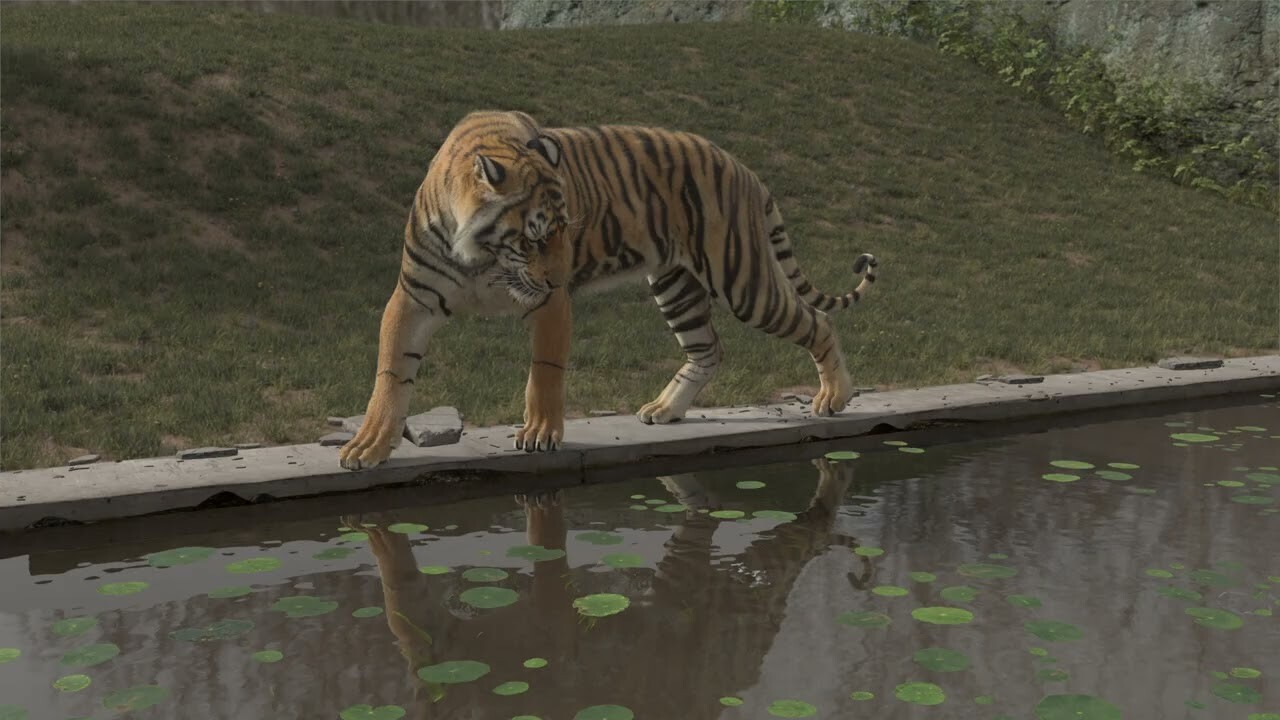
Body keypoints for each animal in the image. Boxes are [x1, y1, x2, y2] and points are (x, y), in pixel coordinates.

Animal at [339, 110, 878, 471]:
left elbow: (545, 372)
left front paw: (540, 433)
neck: (484, 255)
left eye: (566, 230)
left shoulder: (549, 305)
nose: (562, 277)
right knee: (709, 349)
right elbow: (391, 374)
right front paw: (370, 444)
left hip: (742, 278)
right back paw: (665, 409)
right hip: (675, 284)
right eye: (537, 235)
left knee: (816, 321)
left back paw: (834, 396)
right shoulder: (413, 298)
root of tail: (743, 168)